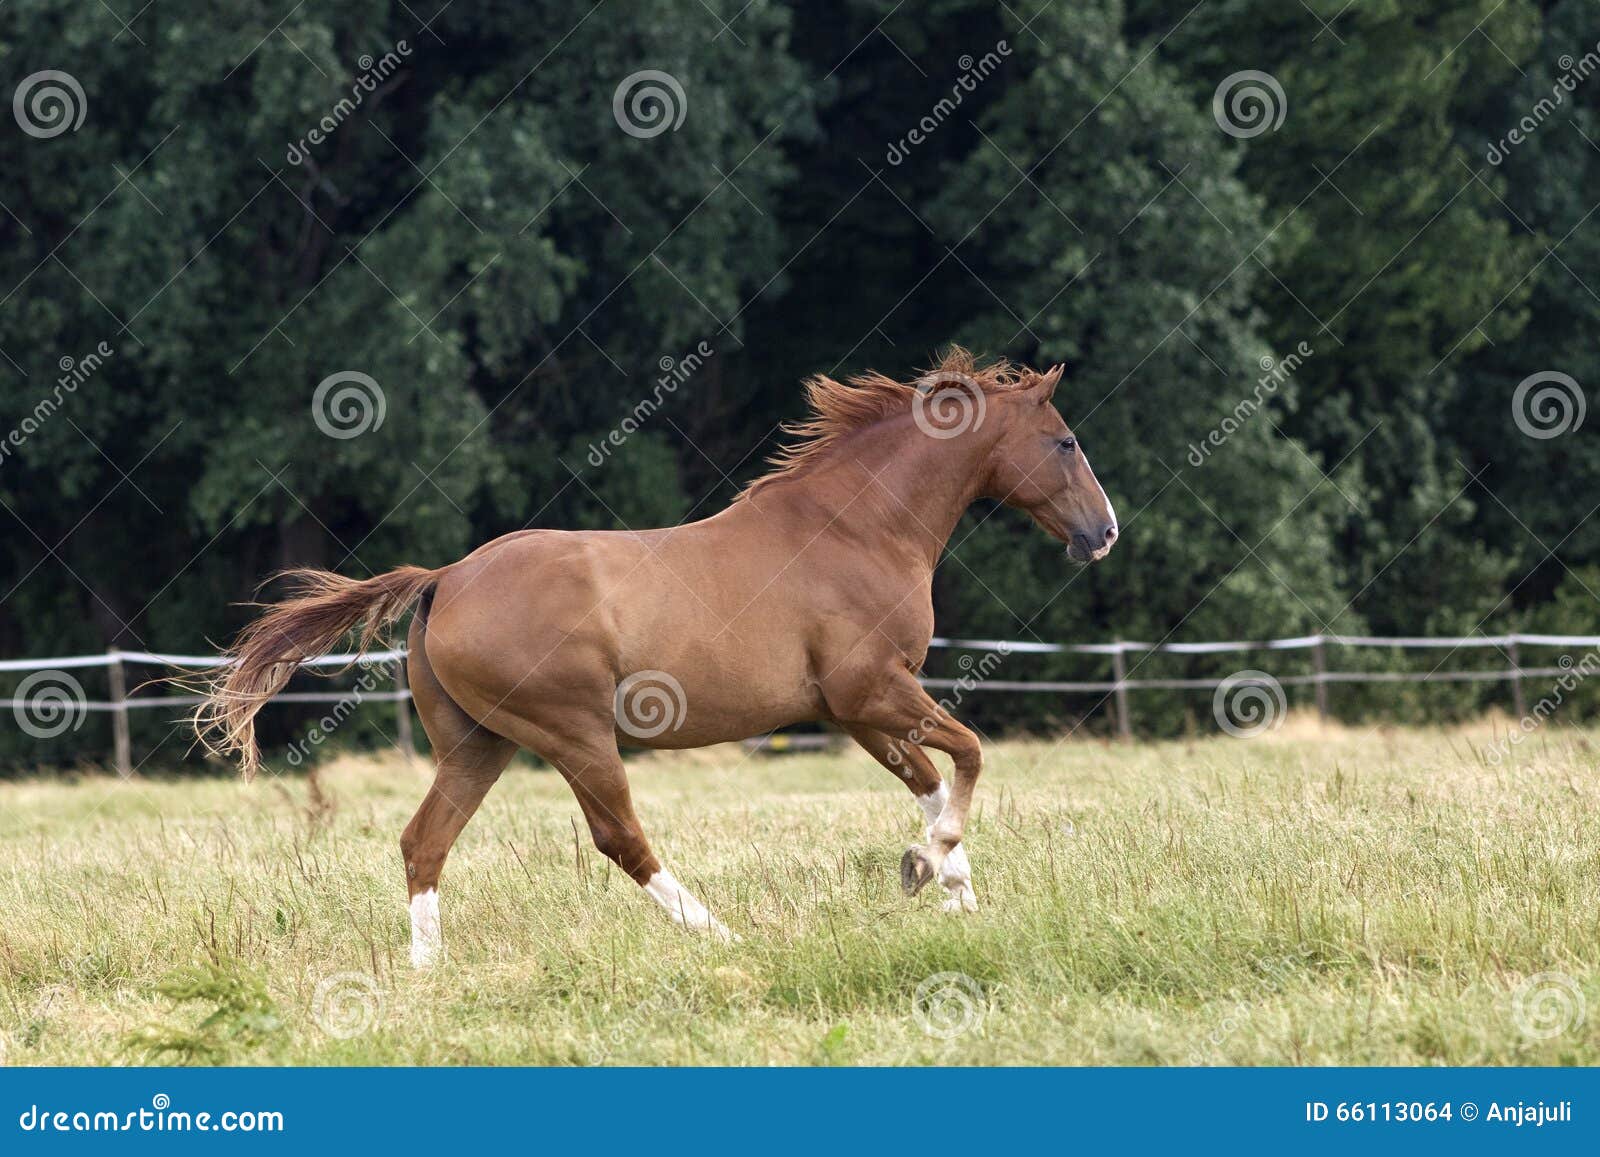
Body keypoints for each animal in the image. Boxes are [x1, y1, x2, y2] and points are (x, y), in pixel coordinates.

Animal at [195, 348, 1117, 966]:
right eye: (1067, 441)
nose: (1103, 533)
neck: (858, 528)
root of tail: (444, 579)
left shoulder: (853, 711)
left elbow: (929, 782)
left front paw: (951, 888)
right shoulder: (872, 692)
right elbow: (968, 755)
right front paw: (934, 868)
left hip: (478, 744)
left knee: (424, 841)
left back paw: (430, 972)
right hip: (573, 735)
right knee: (620, 839)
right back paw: (726, 934)